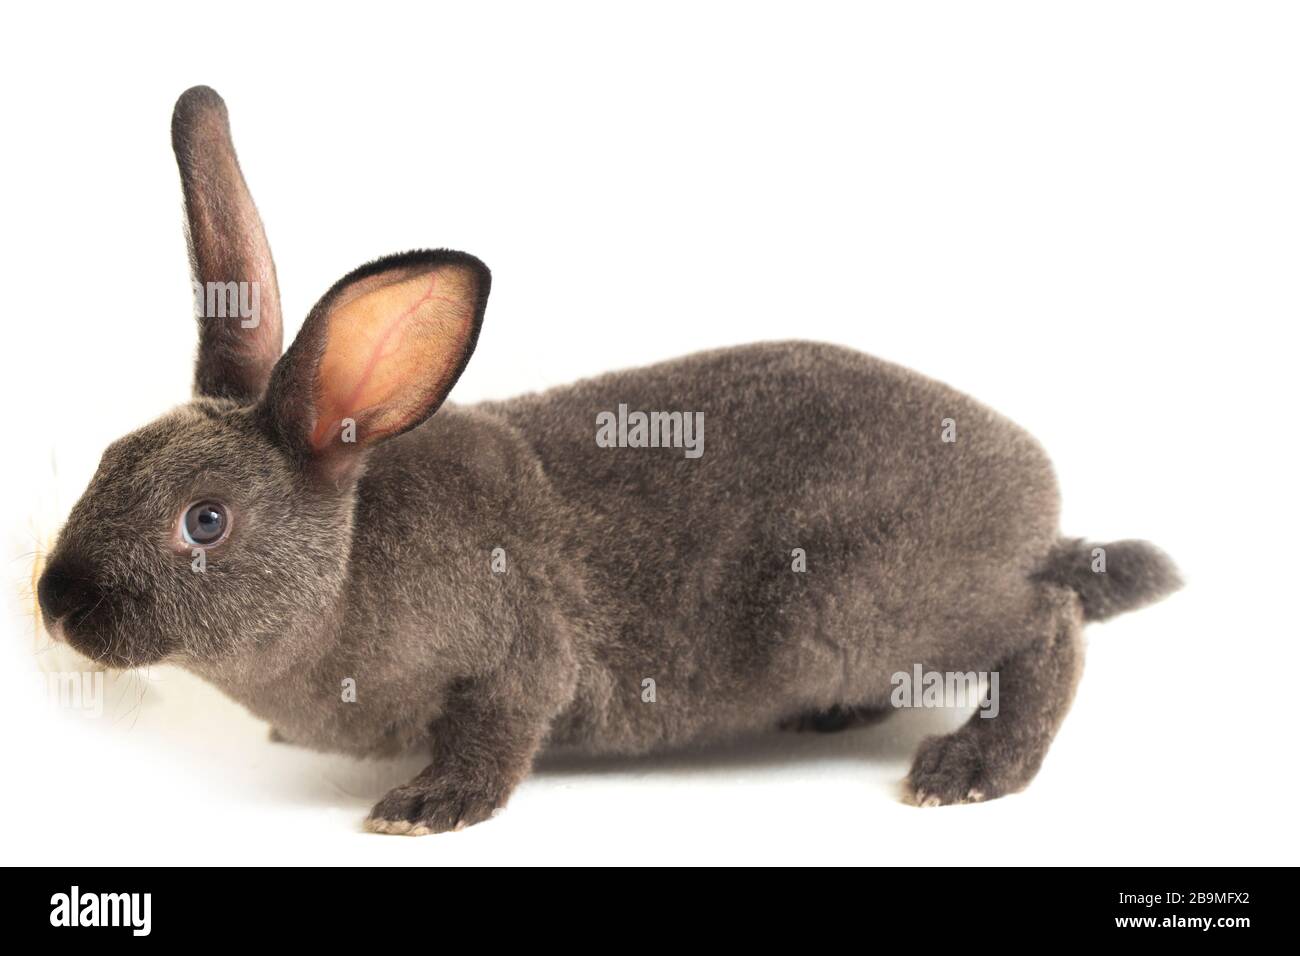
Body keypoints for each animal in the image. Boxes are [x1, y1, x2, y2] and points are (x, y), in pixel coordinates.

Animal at [36, 86, 1181, 835]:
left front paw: (427, 806)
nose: (54, 604)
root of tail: (1040, 512)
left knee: (1045, 622)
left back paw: (971, 765)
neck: (345, 561)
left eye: (205, 520)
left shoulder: (517, 657)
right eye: (105, 460)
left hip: (859, 601)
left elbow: (501, 728)